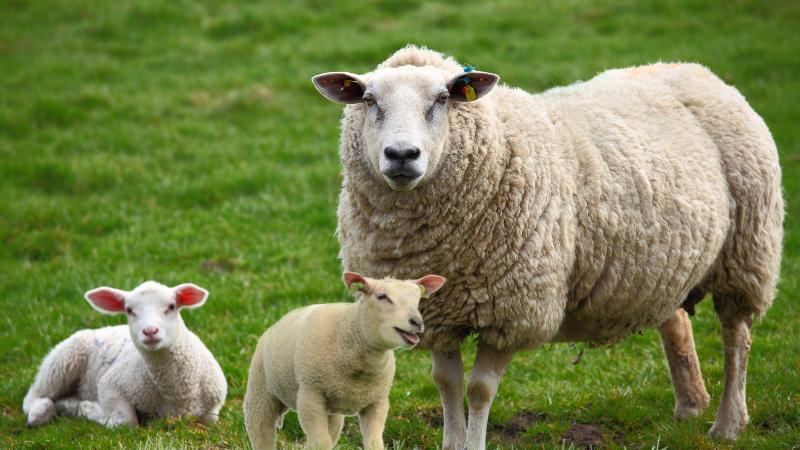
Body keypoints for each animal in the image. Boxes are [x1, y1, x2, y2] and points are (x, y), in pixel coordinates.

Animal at [23, 281, 227, 428]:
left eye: (171, 306)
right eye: (129, 310)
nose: (150, 331)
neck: (177, 394)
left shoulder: (212, 412)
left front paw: (81, 407)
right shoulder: (110, 385)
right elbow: (126, 422)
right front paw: (90, 409)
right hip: (62, 360)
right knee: (34, 395)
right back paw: (41, 413)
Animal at [244, 272, 446, 450]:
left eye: (418, 298)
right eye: (381, 297)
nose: (417, 322)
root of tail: (275, 324)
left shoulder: (377, 401)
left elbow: (373, 442)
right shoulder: (310, 394)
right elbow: (321, 443)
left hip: (332, 409)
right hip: (261, 392)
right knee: (261, 433)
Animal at [312, 45, 783, 448]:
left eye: (442, 99)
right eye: (369, 100)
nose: (401, 155)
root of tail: (694, 69)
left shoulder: (511, 311)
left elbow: (479, 391)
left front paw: (475, 442)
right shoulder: (439, 312)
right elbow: (447, 385)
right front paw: (452, 442)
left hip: (747, 251)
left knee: (736, 337)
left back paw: (728, 423)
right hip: (664, 261)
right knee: (676, 322)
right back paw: (690, 406)